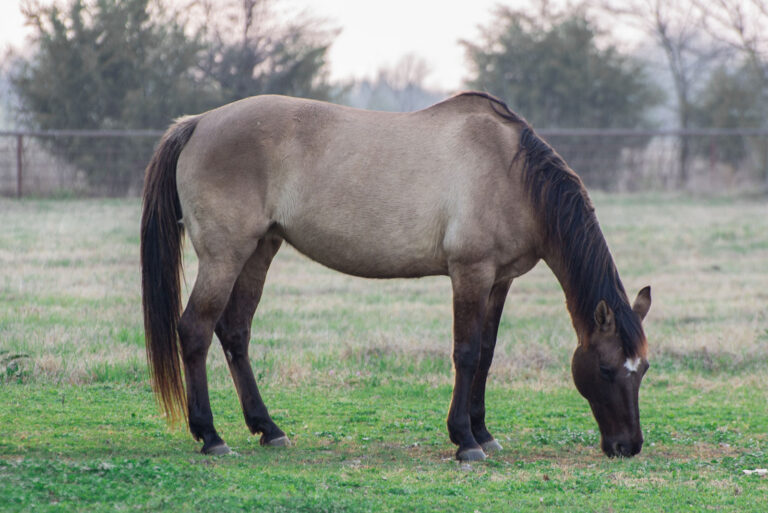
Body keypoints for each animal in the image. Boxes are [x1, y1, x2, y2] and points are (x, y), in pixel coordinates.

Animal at [140, 92, 652, 461]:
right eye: (606, 369)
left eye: (642, 369)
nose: (628, 447)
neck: (511, 174)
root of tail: (198, 123)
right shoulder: (470, 273)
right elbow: (466, 353)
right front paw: (465, 441)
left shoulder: (499, 280)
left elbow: (486, 354)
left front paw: (483, 432)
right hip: (224, 256)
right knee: (195, 330)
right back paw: (211, 436)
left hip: (259, 250)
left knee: (235, 332)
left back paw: (269, 429)